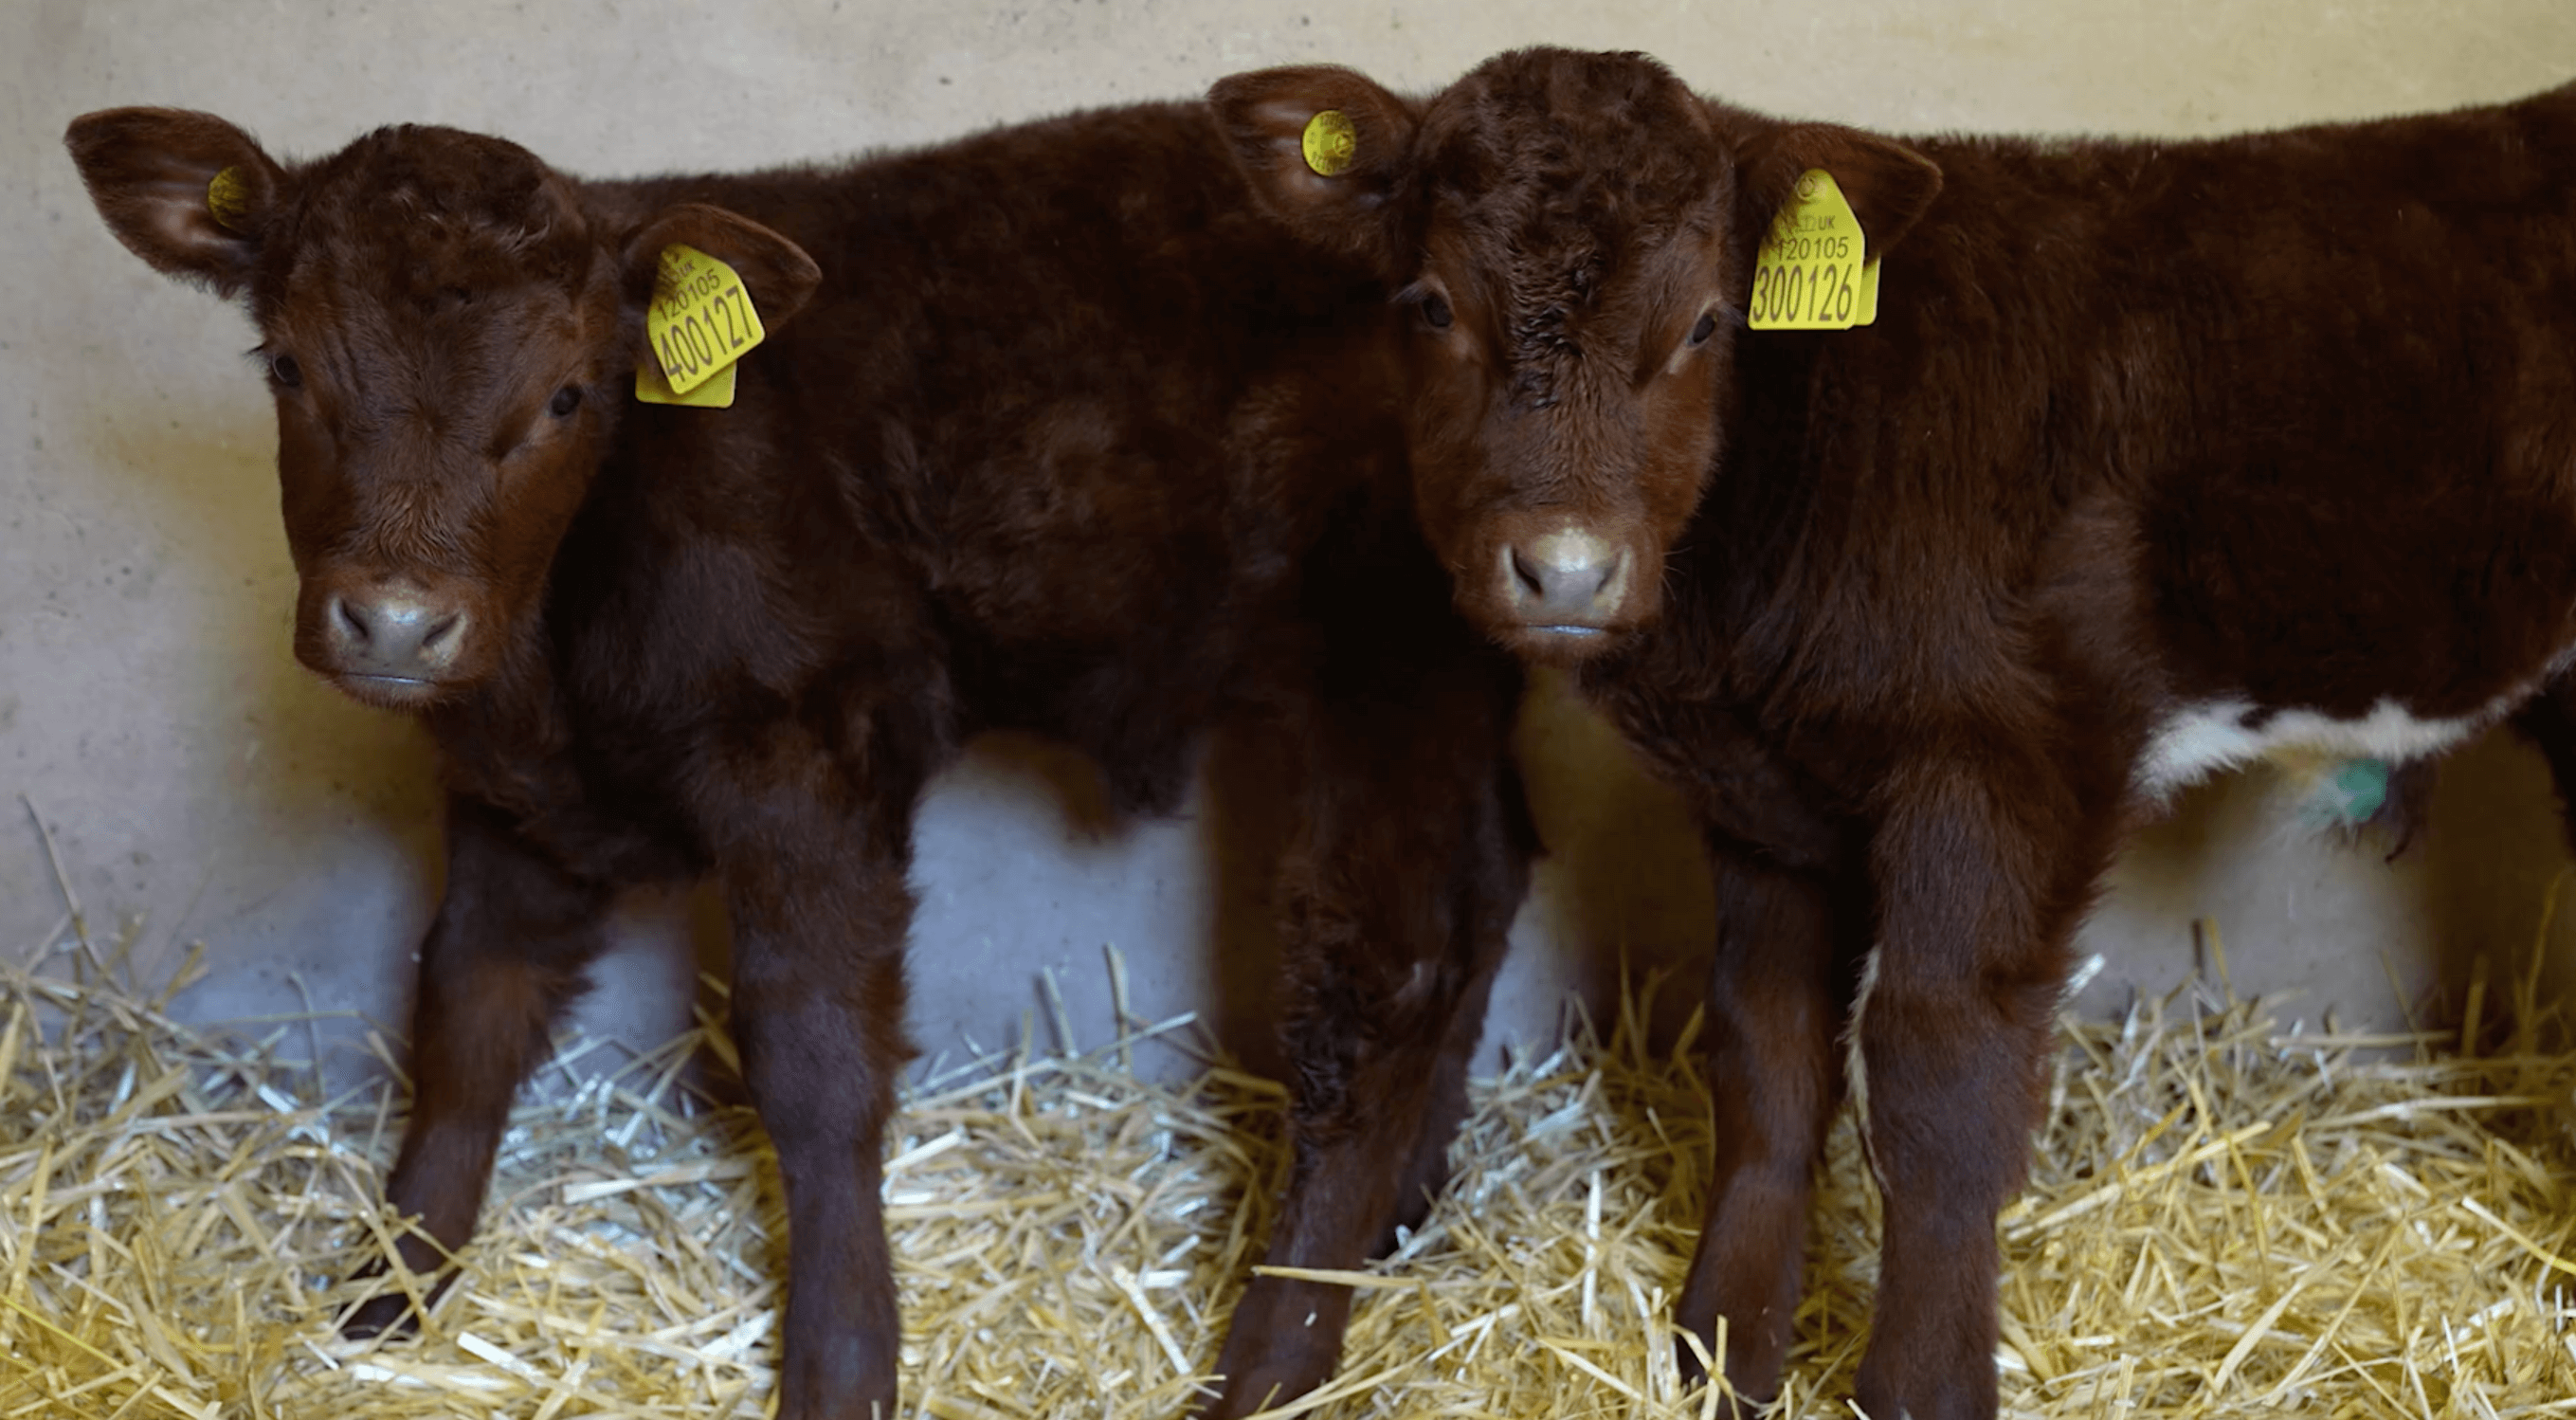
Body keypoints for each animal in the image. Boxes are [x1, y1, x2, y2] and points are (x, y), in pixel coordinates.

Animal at [66, 94, 1540, 1420]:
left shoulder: (809, 754)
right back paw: (1405, 1215)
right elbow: (465, 1009)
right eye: (288, 367)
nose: (397, 618)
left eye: (567, 395)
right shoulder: (515, 790)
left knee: (1384, 981)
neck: (558, 663)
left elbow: (813, 1062)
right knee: (1487, 896)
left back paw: (1275, 1362)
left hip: (1382, 671)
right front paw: (388, 1293)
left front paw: (841, 1365)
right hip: (1464, 690)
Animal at [1212, 45, 2576, 1420]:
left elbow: (1935, 1078)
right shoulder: (1763, 798)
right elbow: (1765, 1056)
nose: (1566, 568)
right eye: (1432, 303)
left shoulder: (2006, 756)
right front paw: (1723, 1350)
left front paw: (1920, 1380)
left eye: (1704, 323)